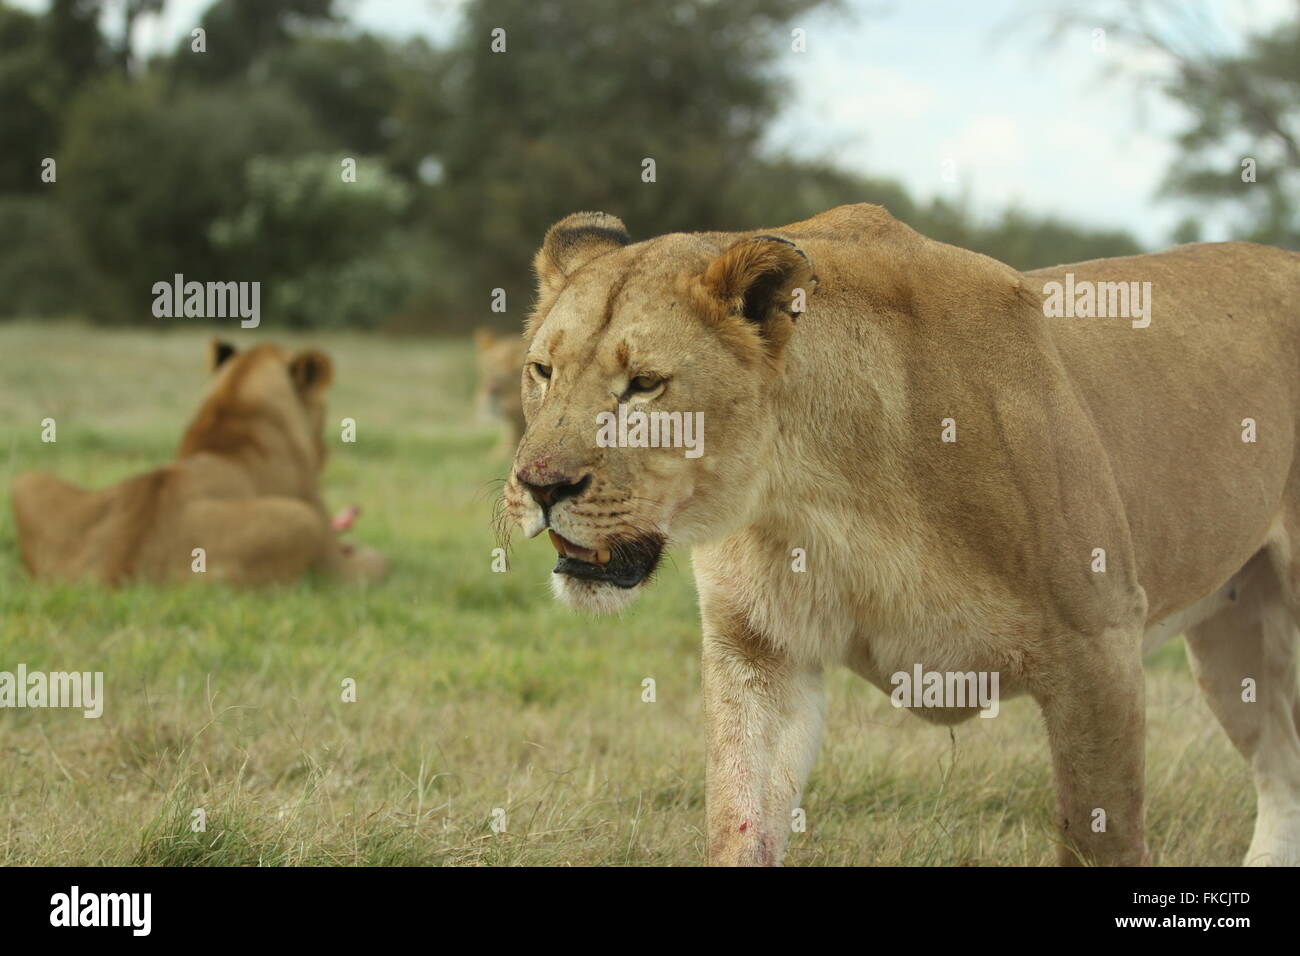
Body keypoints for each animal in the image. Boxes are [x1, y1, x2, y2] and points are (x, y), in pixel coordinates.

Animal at [11, 340, 386, 587]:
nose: (325, 452)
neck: (237, 403)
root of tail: (112, 568)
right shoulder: (334, 563)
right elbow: (376, 562)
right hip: (299, 518)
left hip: (27, 480)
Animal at [503, 203, 1300, 866]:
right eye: (542, 370)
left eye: (644, 385)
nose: (539, 486)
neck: (811, 489)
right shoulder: (759, 652)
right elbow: (739, 822)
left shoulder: (1098, 644)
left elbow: (1102, 838)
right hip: (1233, 645)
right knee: (1281, 769)